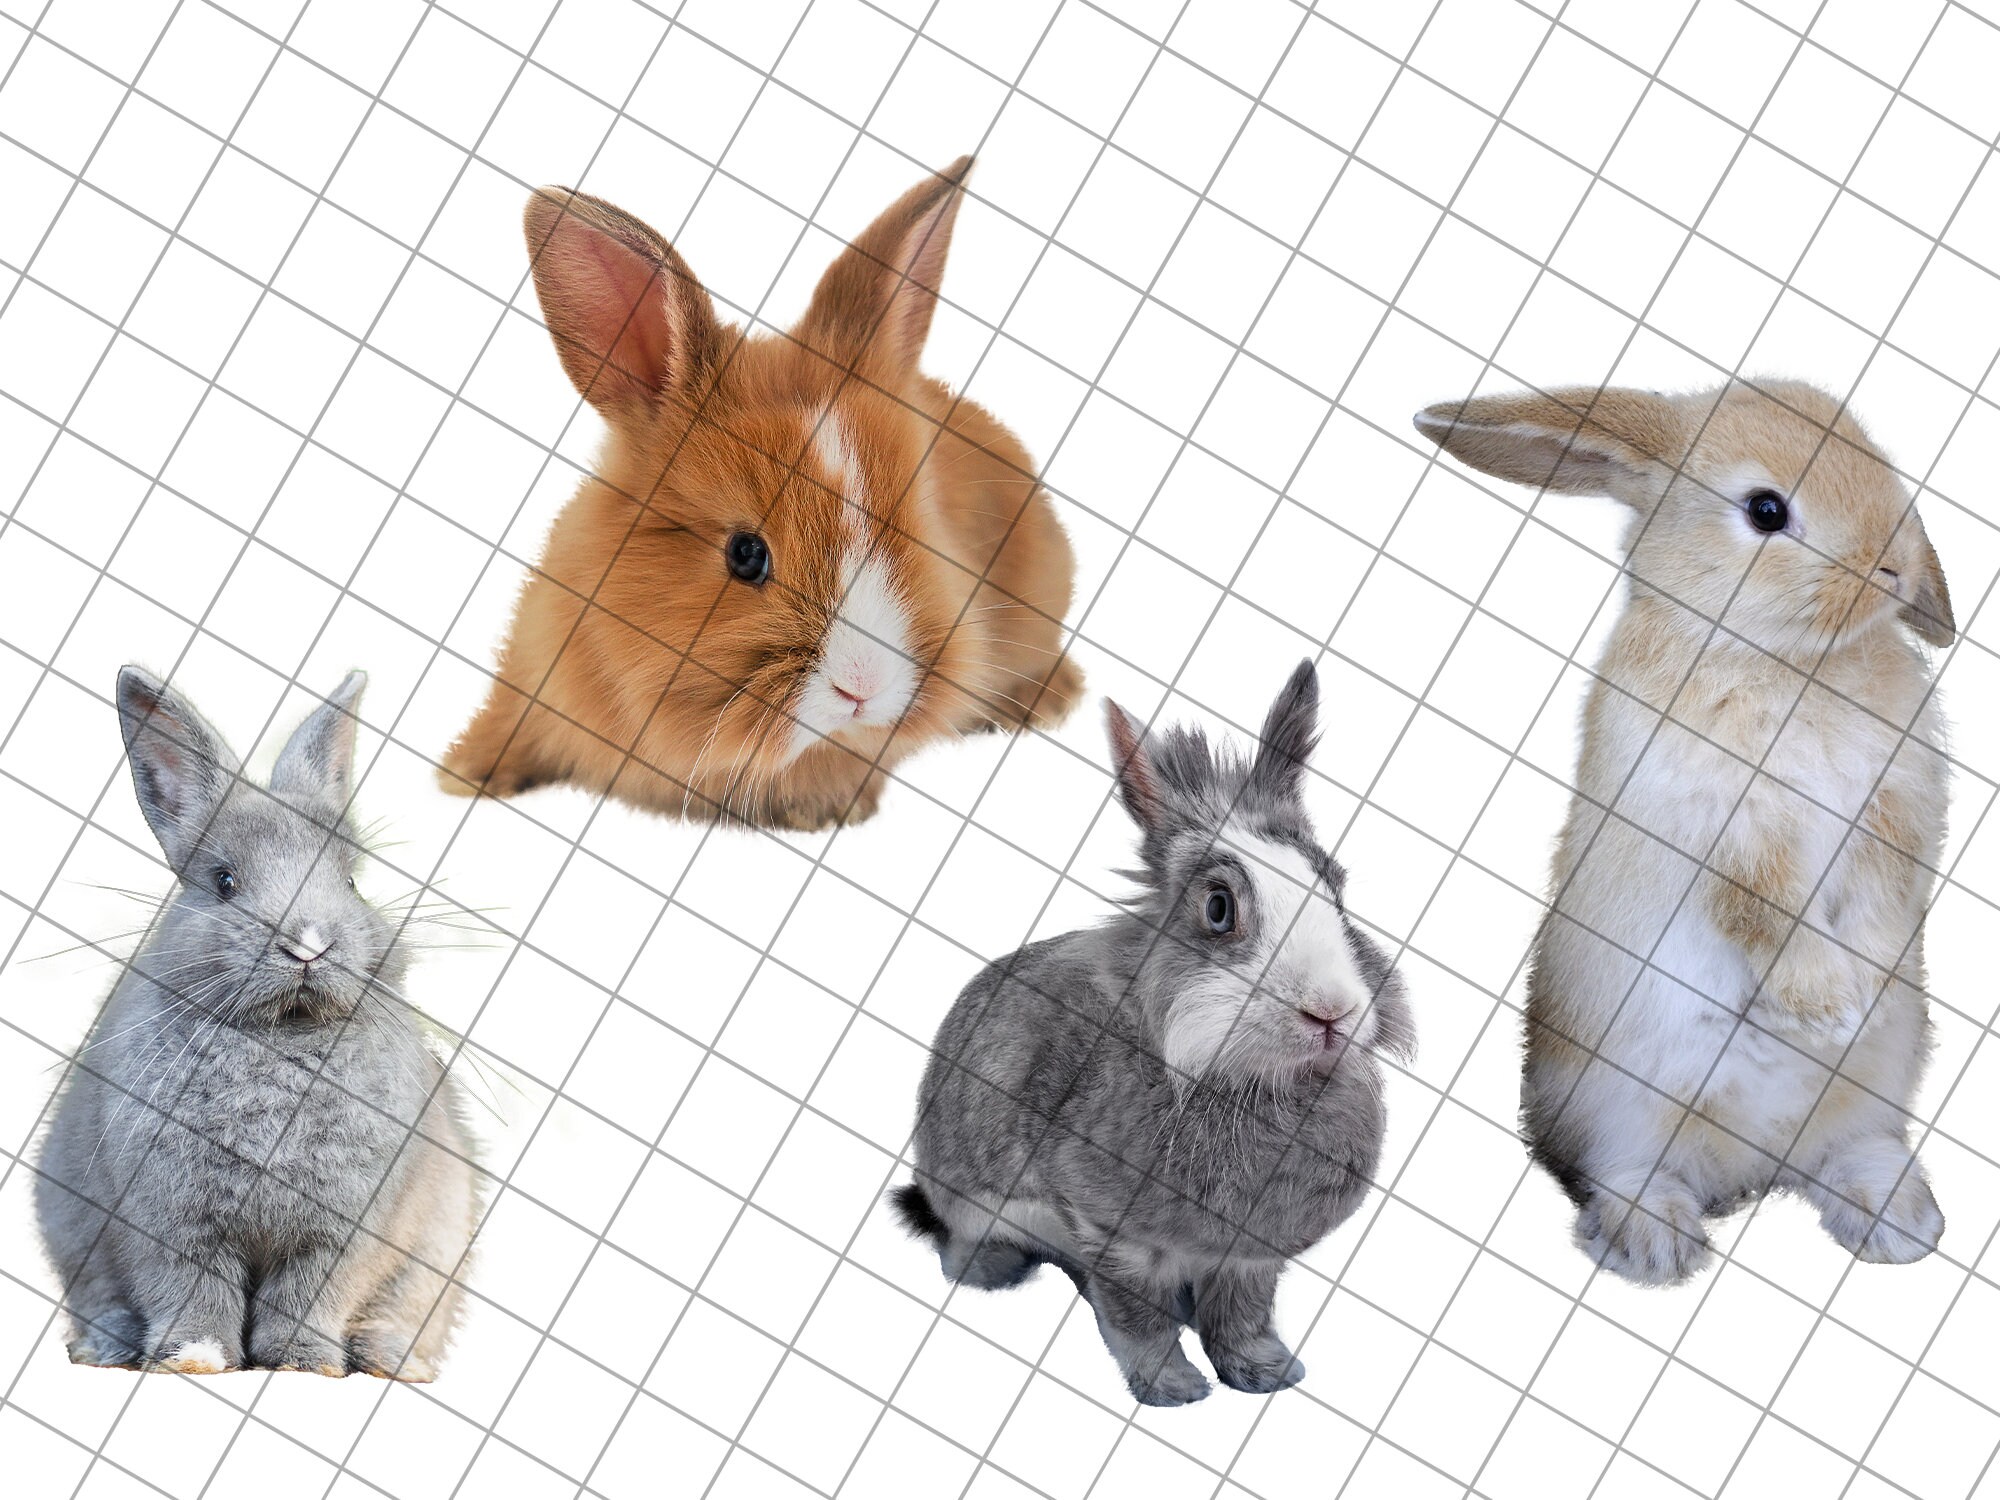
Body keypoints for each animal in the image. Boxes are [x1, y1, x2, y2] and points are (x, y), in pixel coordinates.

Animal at [34, 668, 479, 1379]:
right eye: (224, 881)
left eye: (351, 883)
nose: (308, 944)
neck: (282, 1037)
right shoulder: (172, 1227)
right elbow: (190, 1289)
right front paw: (196, 1359)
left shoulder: (340, 1236)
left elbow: (308, 1294)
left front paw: (302, 1364)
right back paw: (104, 1349)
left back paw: (392, 1360)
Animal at [892, 663, 1413, 1405]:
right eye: (1218, 908)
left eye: (1337, 890)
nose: (1332, 1012)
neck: (1246, 1084)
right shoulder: (1112, 1235)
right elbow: (1137, 1316)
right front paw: (1174, 1389)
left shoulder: (1247, 1256)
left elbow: (1243, 1314)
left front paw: (1267, 1374)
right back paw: (994, 1271)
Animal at [1414, 378, 1955, 1285]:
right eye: (1766, 510)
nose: (1897, 566)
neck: (1786, 659)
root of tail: (1754, 1167)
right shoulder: (1730, 833)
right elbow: (1768, 910)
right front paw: (1828, 1006)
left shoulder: (1898, 816)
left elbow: (1885, 902)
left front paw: (1862, 995)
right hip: (1618, 1102)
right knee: (1628, 1168)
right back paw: (1657, 1245)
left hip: (1872, 1093)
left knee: (1848, 1153)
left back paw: (1899, 1222)